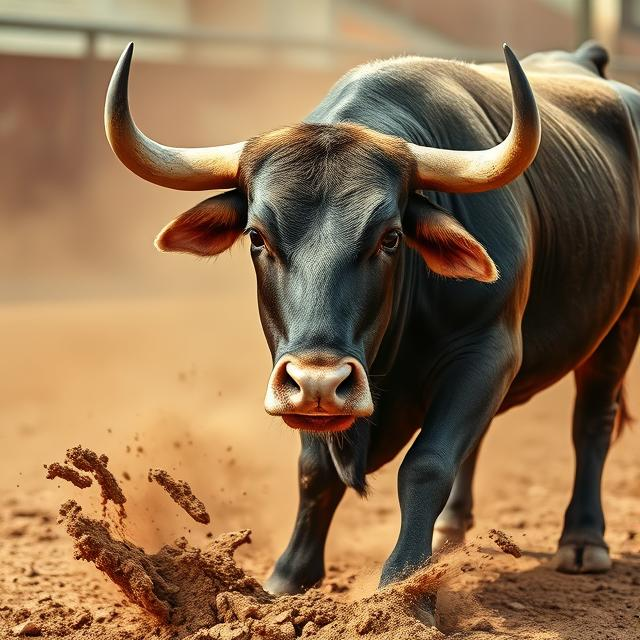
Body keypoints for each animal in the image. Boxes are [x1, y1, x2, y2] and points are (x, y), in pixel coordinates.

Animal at [104, 40, 640, 624]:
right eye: (256, 235)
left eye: (390, 237)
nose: (319, 383)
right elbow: (314, 471)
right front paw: (289, 577)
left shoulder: (488, 351)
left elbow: (427, 465)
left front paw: (407, 588)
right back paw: (451, 532)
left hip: (619, 326)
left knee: (592, 420)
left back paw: (583, 541)